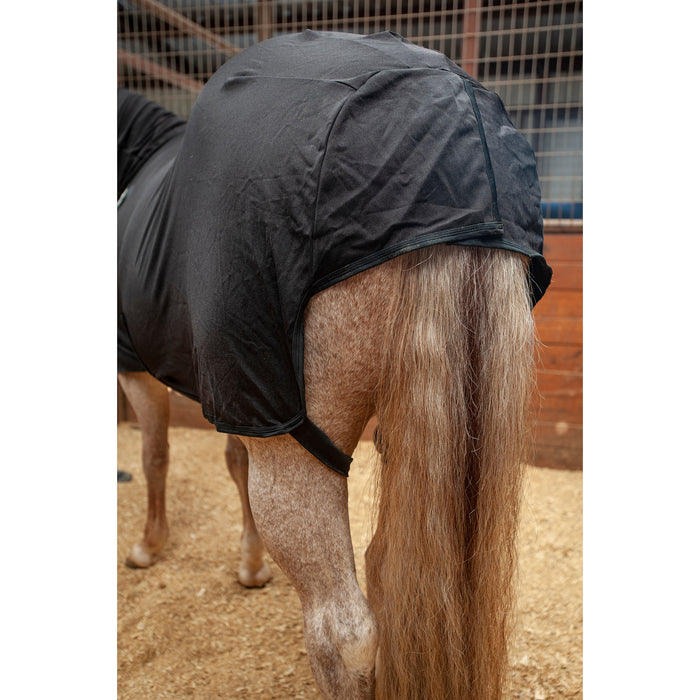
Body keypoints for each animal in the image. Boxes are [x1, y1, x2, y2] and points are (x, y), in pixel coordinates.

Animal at [118, 31, 551, 700]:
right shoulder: (241, 396)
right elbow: (231, 462)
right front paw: (250, 566)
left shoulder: (158, 374)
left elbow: (155, 454)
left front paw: (149, 546)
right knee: (384, 569)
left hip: (296, 445)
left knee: (343, 635)